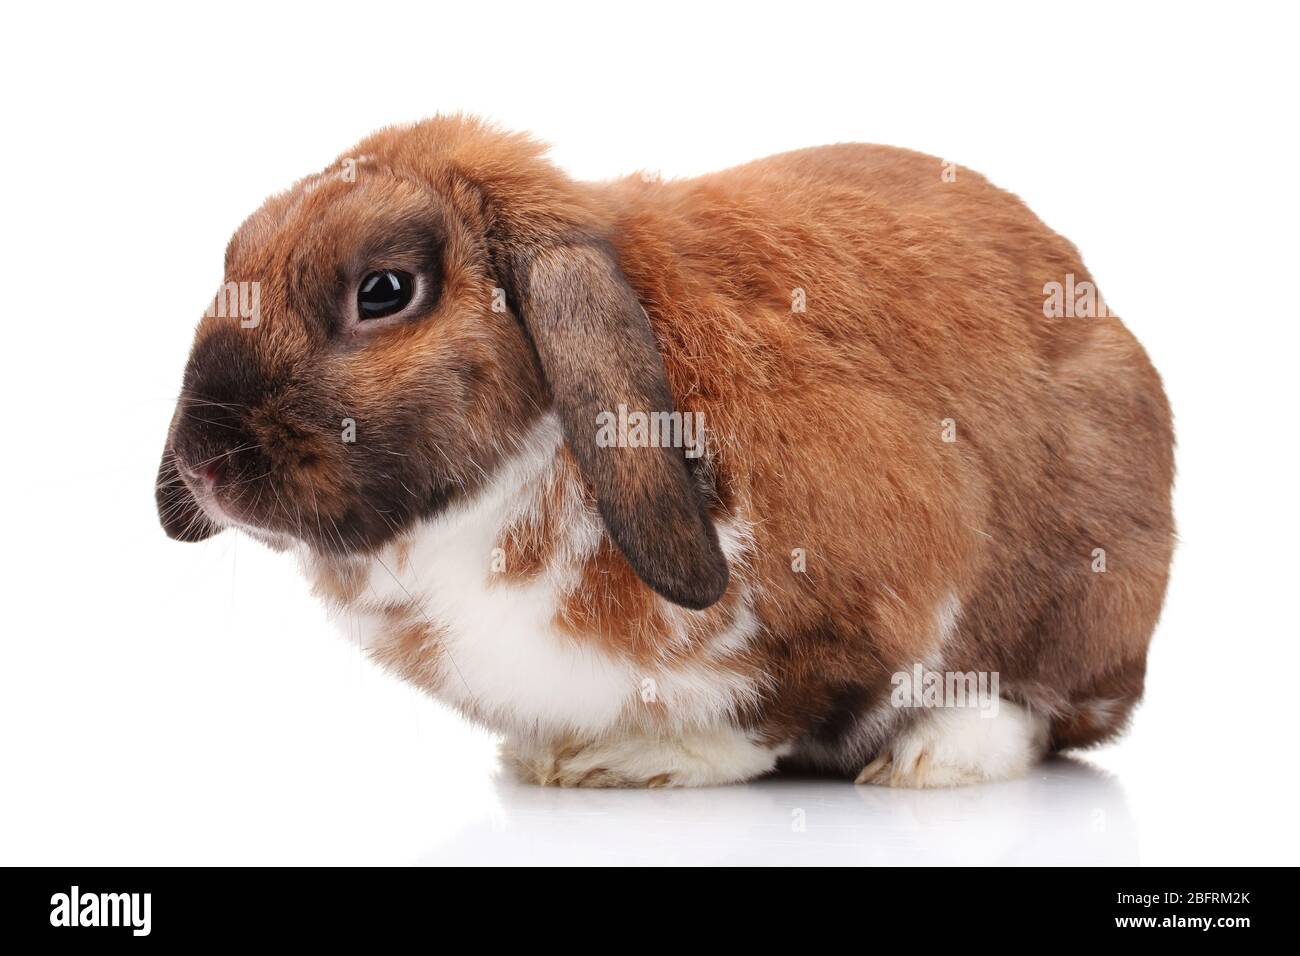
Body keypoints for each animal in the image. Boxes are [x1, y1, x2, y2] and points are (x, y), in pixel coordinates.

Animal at [157, 115, 1175, 788]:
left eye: (385, 290)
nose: (204, 464)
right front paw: (542, 759)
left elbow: (770, 716)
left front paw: (635, 762)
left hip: (1088, 601)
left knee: (1049, 711)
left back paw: (933, 756)